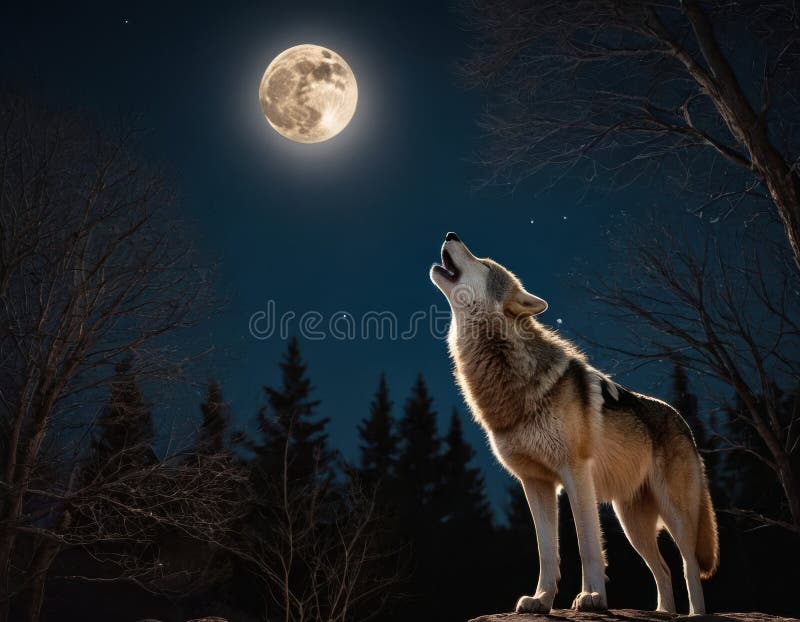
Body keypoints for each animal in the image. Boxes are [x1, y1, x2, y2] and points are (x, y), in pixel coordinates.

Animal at [429, 232, 718, 615]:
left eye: (484, 263)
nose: (451, 235)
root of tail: (683, 421)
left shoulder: (575, 474)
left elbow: (587, 546)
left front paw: (592, 598)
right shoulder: (535, 484)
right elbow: (547, 552)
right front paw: (540, 600)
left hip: (676, 515)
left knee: (688, 566)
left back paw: (694, 614)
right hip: (632, 524)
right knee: (664, 569)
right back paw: (663, 613)